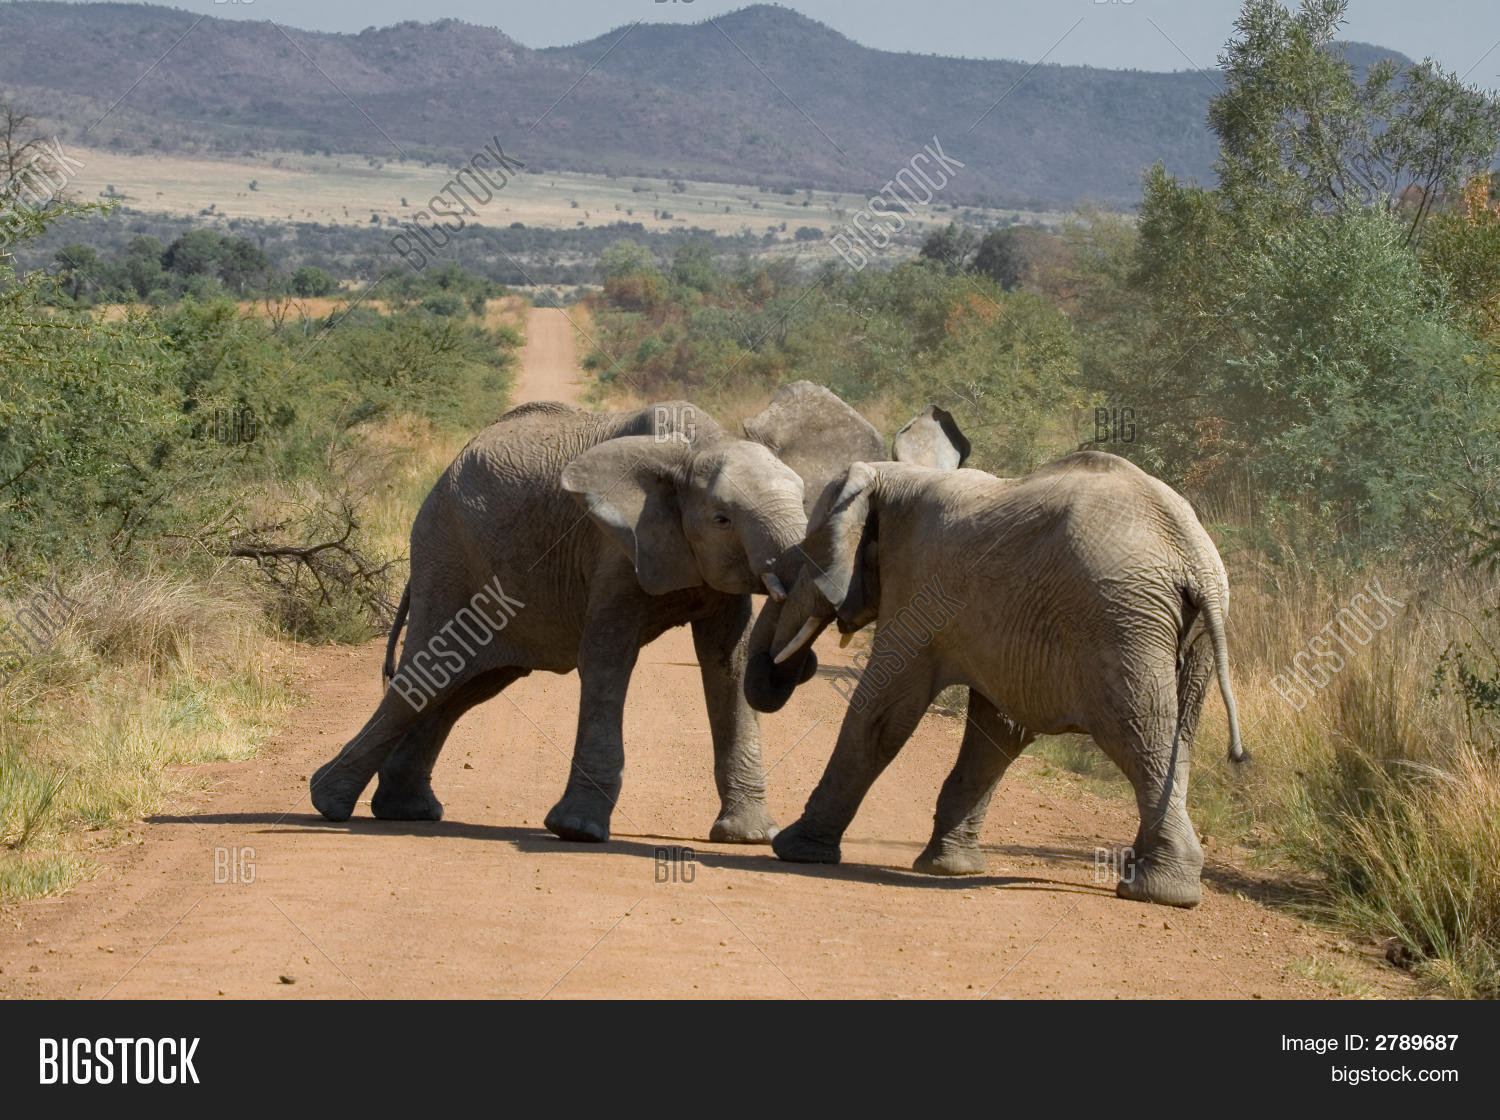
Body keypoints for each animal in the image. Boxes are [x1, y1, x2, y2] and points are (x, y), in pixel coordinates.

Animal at [745, 450, 1246, 908]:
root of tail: (1191, 552)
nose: (800, 664)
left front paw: (794, 850)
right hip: (1183, 630)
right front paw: (949, 868)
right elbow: (1000, 729)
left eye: (807, 554)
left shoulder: (920, 584)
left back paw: (1161, 893)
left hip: (1119, 618)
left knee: (1137, 732)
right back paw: (1155, 881)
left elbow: (886, 712)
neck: (893, 476)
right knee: (1178, 738)